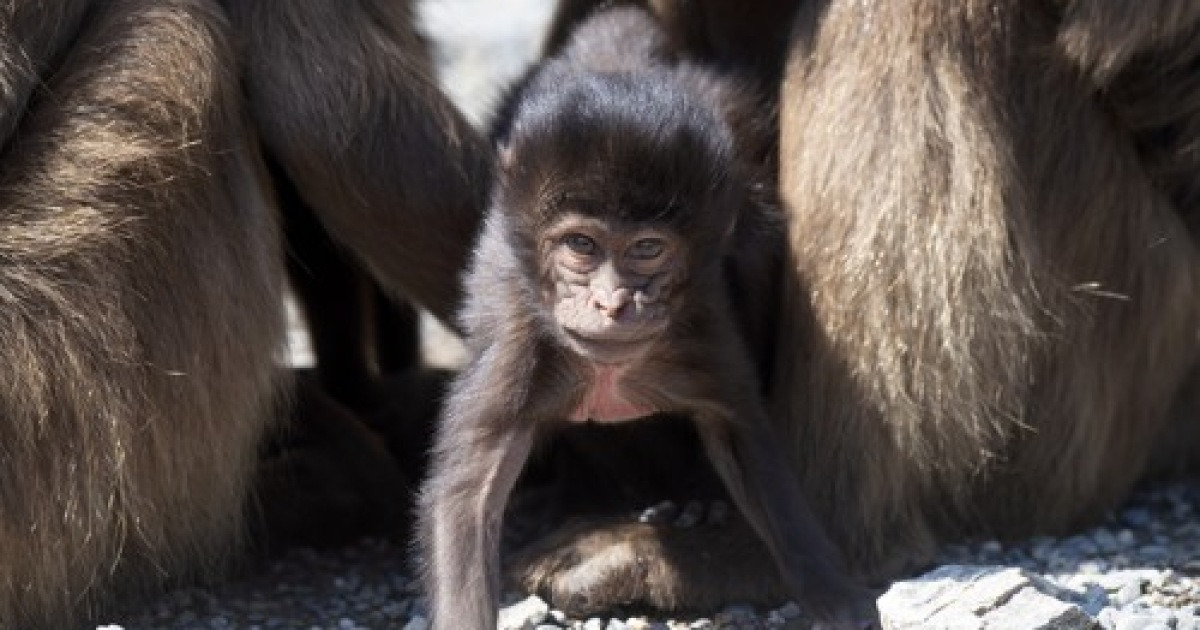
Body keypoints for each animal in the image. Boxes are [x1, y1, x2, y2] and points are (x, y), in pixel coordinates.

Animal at [417, 7, 879, 629]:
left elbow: (743, 433)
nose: (613, 301)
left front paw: (832, 590)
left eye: (647, 249)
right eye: (581, 245)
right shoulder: (519, 344)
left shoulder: (700, 324)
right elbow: (469, 492)